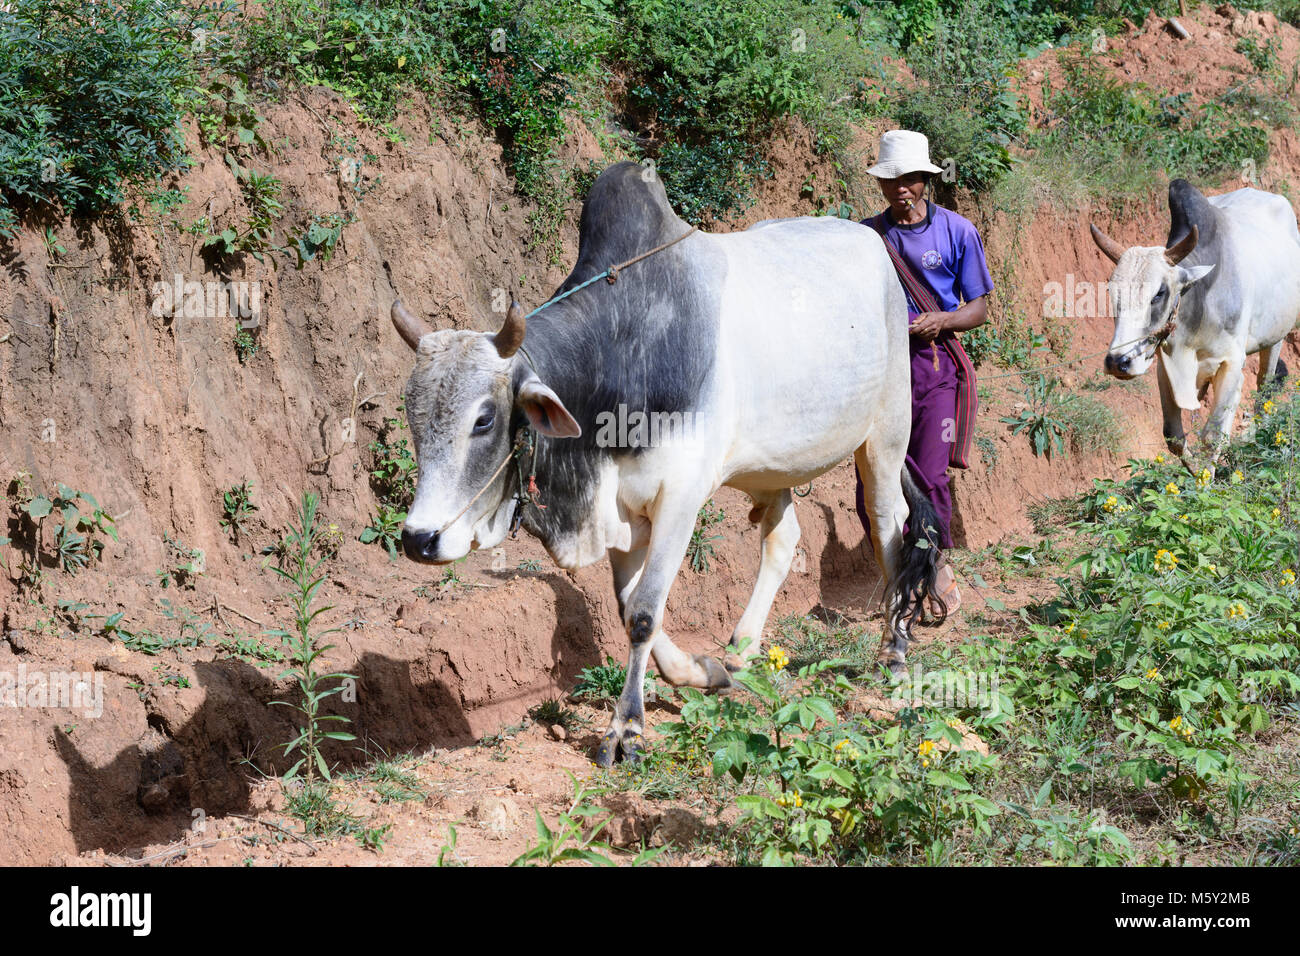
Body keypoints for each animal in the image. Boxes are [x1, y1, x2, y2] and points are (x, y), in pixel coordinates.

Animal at [389, 161, 943, 766]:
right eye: (412, 414)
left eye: (484, 419)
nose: (419, 539)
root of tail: (872, 242)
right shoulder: (621, 513)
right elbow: (630, 607)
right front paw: (702, 671)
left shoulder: (680, 498)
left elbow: (644, 613)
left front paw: (627, 730)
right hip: (772, 470)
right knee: (784, 539)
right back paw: (743, 650)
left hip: (885, 438)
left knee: (891, 531)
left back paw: (893, 650)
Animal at [1090, 179, 1300, 458]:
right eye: (1111, 291)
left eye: (1159, 293)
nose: (1117, 362)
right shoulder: (1165, 365)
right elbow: (1173, 436)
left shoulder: (1232, 361)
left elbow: (1212, 436)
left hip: (1275, 340)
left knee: (1263, 390)